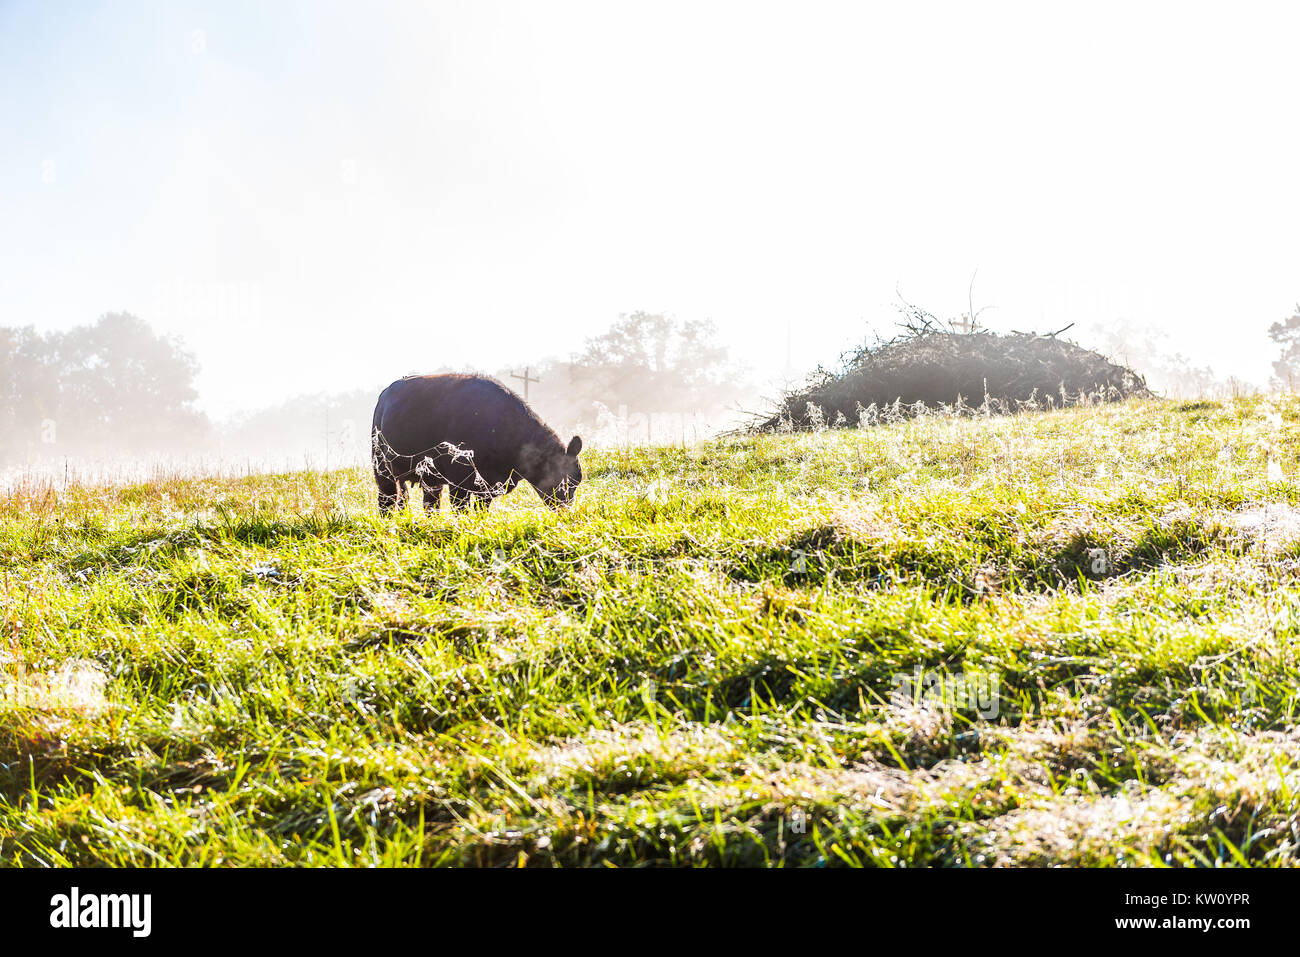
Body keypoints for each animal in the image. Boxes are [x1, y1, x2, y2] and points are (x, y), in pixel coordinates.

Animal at [371, 374, 583, 514]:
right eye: (561, 476)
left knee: (424, 503)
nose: (565, 509)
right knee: (388, 500)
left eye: (576, 481)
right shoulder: (459, 480)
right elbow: (461, 509)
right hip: (382, 468)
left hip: (429, 478)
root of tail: (386, 392)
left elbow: (481, 511)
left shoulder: (486, 486)